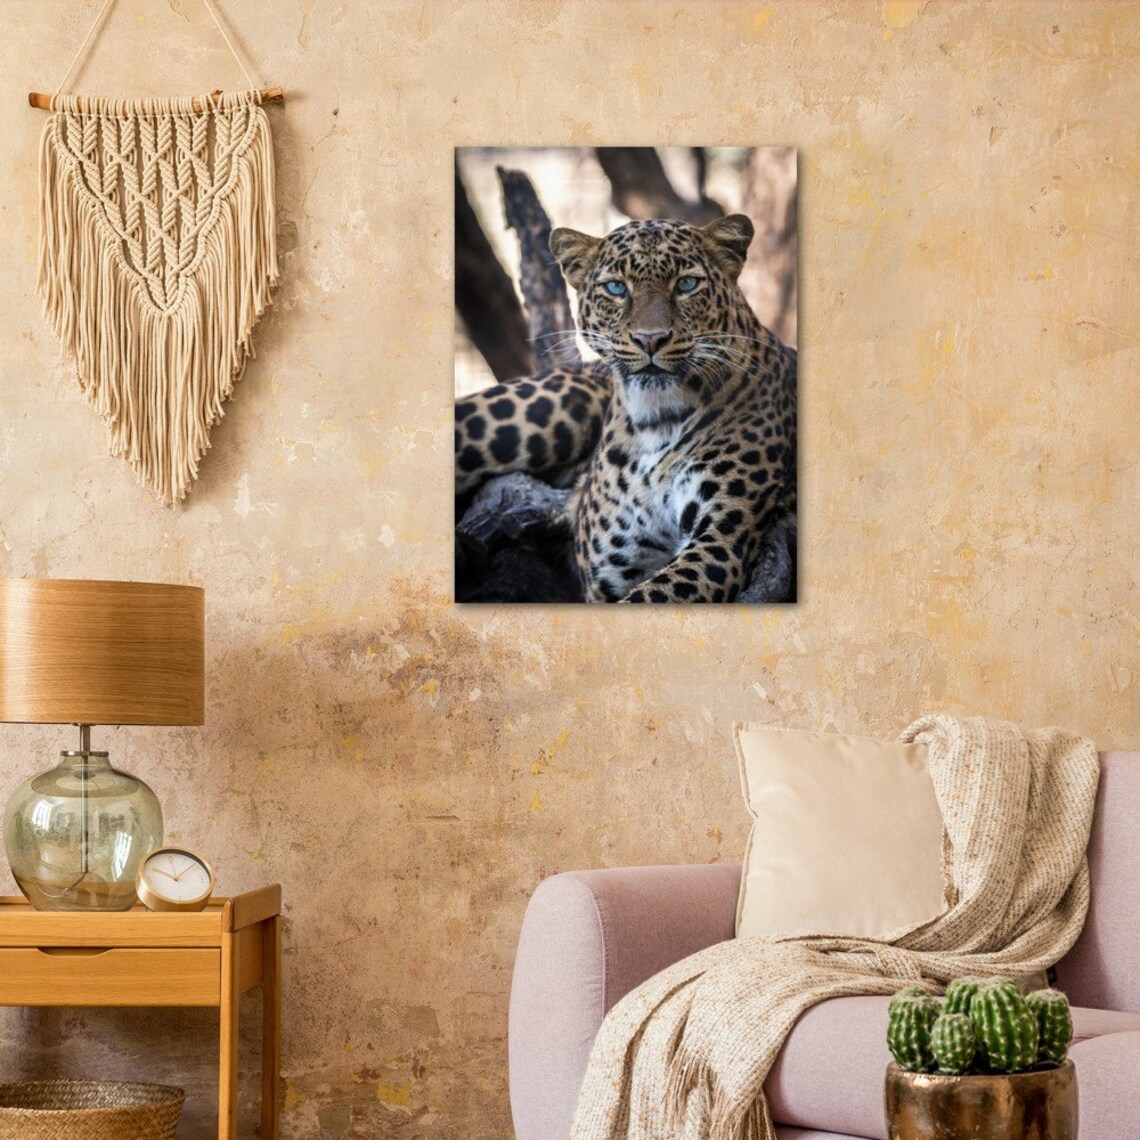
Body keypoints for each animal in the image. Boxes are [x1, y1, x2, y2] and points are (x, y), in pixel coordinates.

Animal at [454, 212, 796, 602]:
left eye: (687, 284)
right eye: (616, 288)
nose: (650, 339)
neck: (656, 422)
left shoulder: (721, 543)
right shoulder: (612, 571)